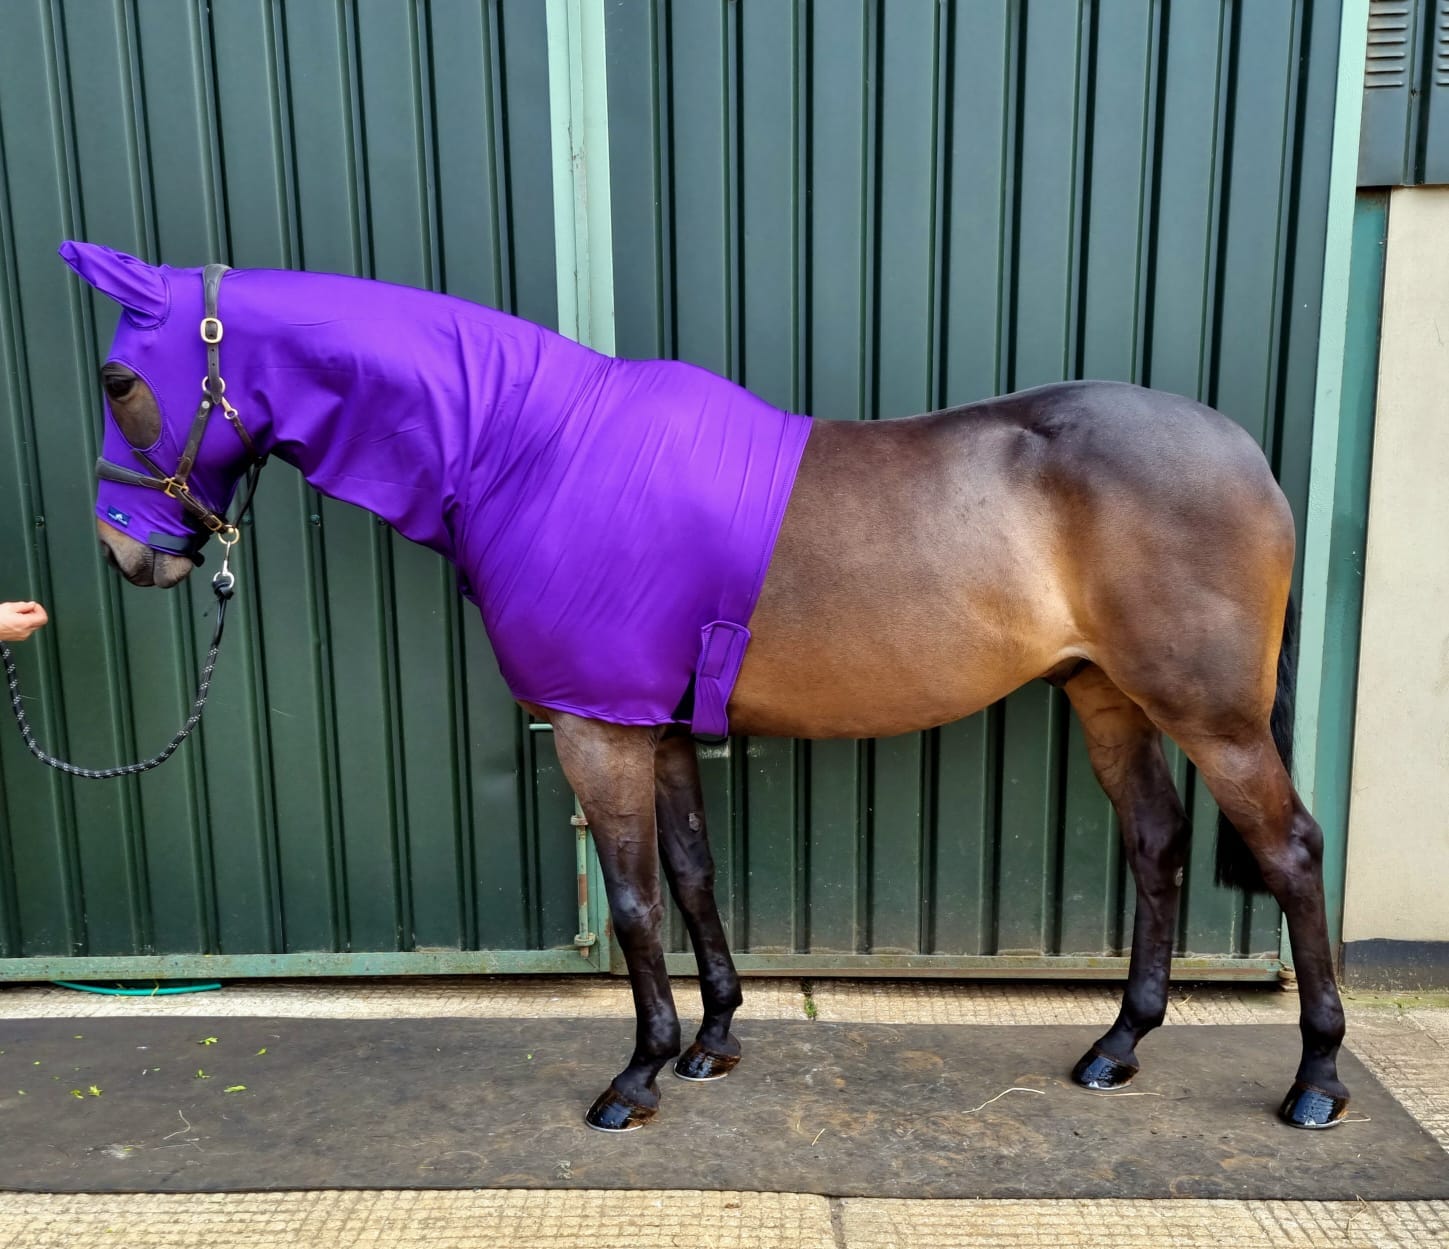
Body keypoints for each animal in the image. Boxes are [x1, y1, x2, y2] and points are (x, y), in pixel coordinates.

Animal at [58, 241, 1347, 1134]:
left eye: (120, 376)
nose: (123, 554)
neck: (530, 448)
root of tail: (1245, 453)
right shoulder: (658, 725)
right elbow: (690, 874)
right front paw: (714, 1039)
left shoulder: (596, 729)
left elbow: (634, 903)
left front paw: (635, 1076)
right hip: (1107, 695)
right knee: (1156, 842)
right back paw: (1116, 1047)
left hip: (1213, 716)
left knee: (1288, 850)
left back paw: (1317, 1079)